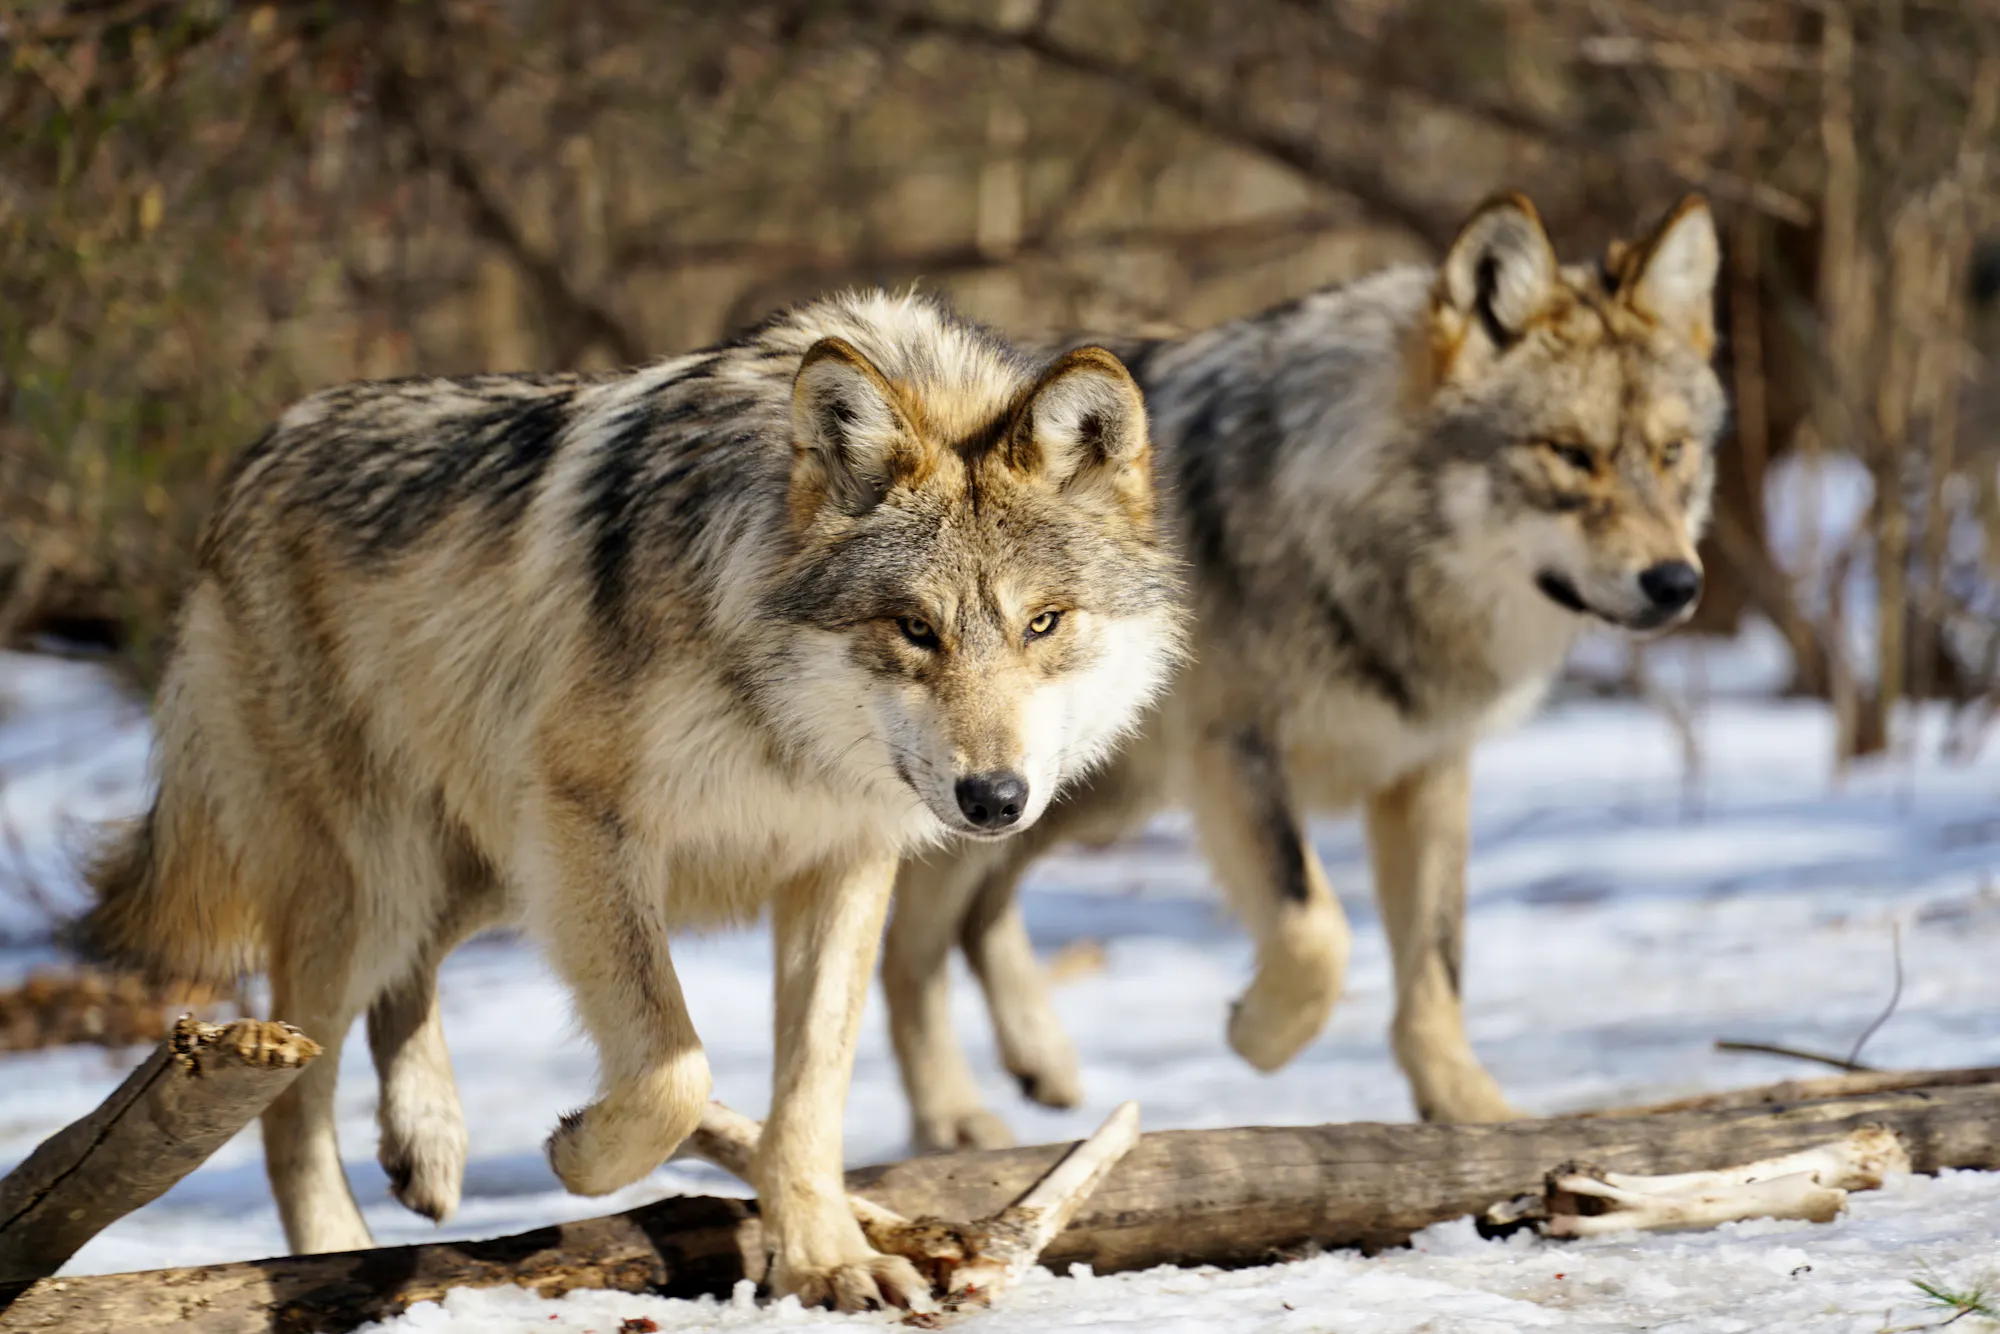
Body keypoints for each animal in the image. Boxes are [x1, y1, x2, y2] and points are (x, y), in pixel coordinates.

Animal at [79, 289, 1184, 1309]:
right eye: (914, 627)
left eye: (1044, 622)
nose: (994, 797)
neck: (776, 713)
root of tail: (261, 450)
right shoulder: (589, 824)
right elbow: (670, 1067)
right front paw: (581, 1154)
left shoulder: (838, 863)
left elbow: (810, 1091)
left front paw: (825, 1257)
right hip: (385, 873)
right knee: (292, 1089)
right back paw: (335, 1246)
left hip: (487, 862)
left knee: (405, 984)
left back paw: (427, 1145)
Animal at [880, 194, 1726, 1152]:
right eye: (1569, 453)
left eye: (1672, 452)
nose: (1677, 583)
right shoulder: (1233, 754)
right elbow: (1316, 928)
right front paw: (1256, 1033)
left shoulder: (1426, 768)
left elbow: (1437, 962)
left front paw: (1471, 1115)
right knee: (909, 947)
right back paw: (951, 1119)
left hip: (1077, 792)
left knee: (980, 913)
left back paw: (1041, 1062)